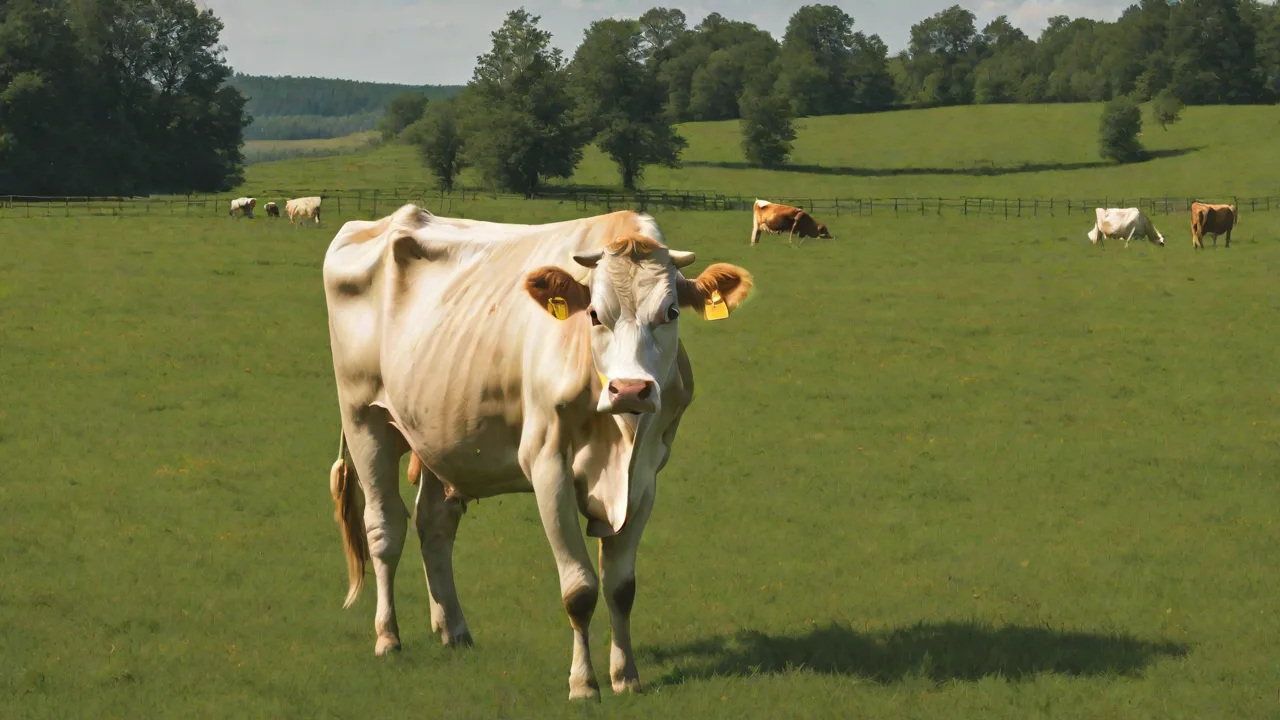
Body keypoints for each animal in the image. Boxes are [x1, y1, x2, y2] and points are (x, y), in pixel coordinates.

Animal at [322, 204, 755, 701]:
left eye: (671, 312)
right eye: (593, 314)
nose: (630, 388)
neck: (619, 437)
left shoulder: (645, 476)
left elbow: (621, 587)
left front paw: (626, 675)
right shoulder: (548, 463)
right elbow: (580, 590)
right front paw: (583, 683)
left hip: (437, 428)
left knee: (434, 523)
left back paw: (453, 629)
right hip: (364, 416)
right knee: (384, 527)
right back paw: (388, 636)